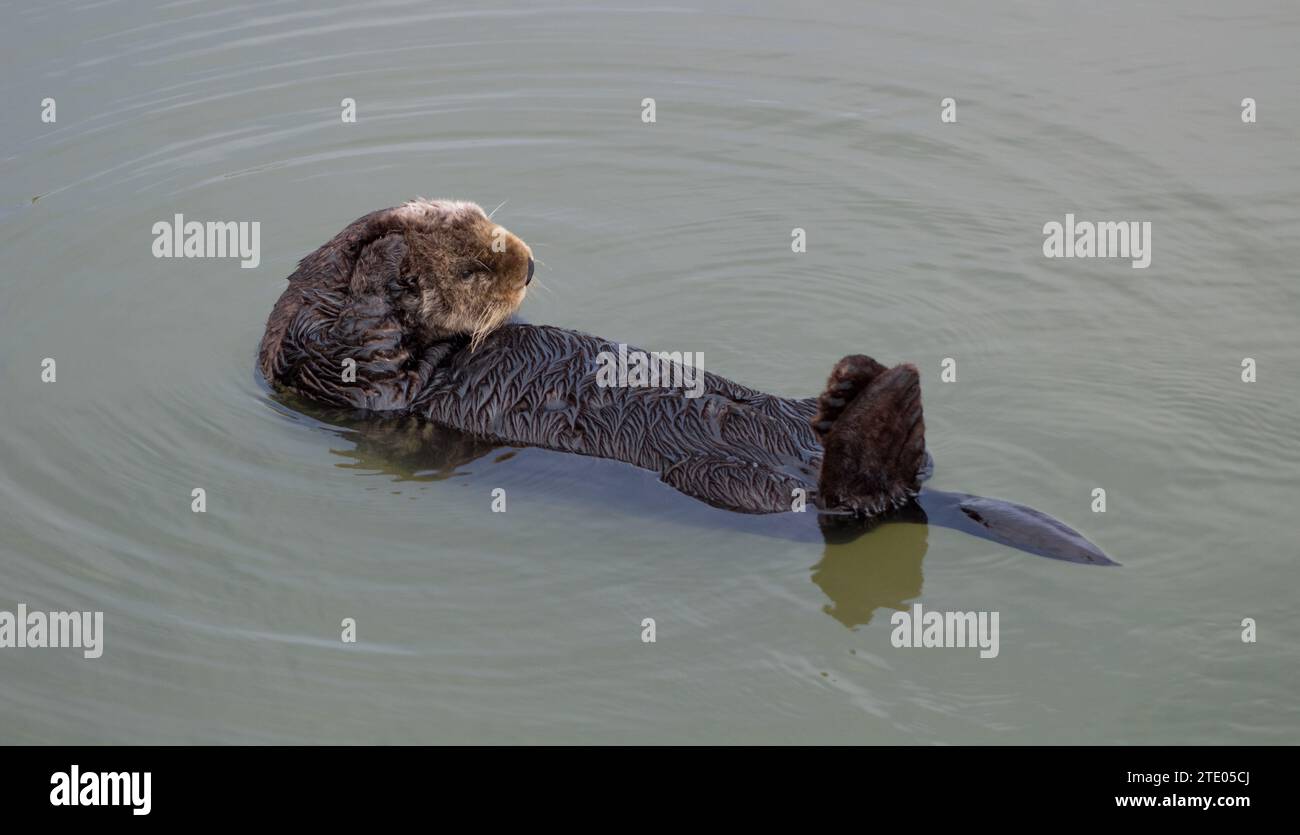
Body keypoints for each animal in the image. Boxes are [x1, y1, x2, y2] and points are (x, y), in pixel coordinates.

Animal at [259, 199, 1113, 565]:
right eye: (475, 268)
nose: (529, 263)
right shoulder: (338, 377)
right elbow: (363, 350)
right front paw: (387, 255)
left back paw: (862, 385)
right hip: (740, 487)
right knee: (848, 508)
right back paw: (881, 402)